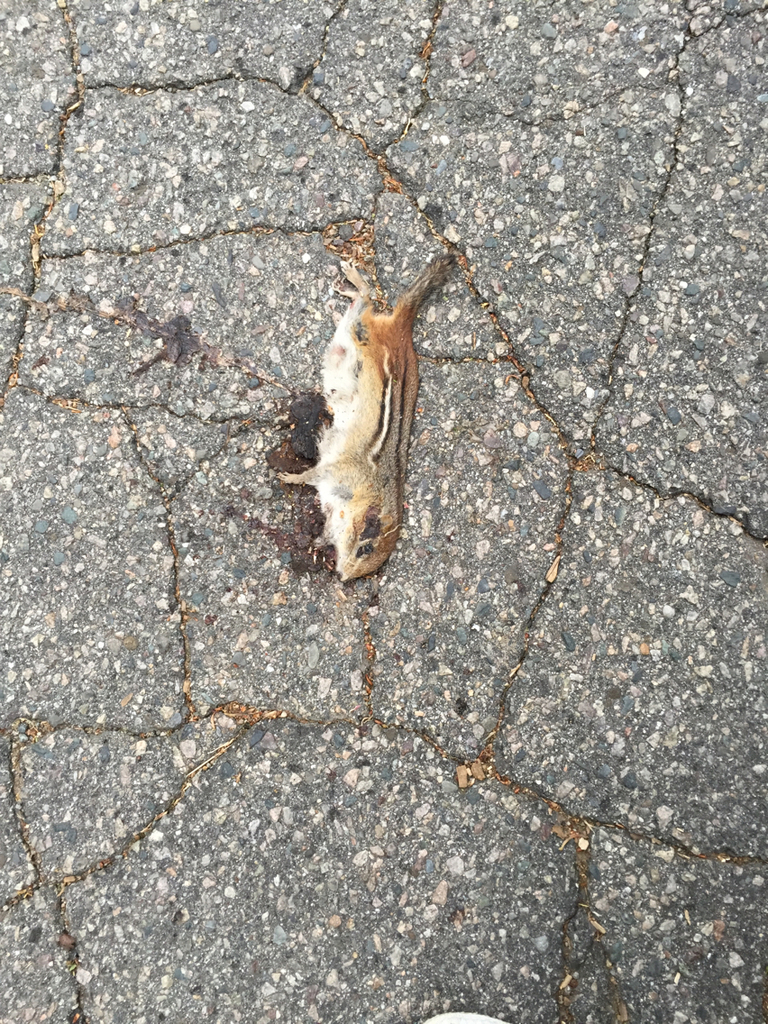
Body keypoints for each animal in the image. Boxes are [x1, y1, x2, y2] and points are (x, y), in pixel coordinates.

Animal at [278, 255, 454, 581]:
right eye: (366, 548)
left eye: (372, 563)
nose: (343, 577)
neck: (370, 492)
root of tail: (403, 328)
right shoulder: (337, 470)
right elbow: (311, 475)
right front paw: (289, 477)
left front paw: (320, 539)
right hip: (362, 330)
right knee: (369, 298)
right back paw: (355, 278)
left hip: (353, 328)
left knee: (364, 302)